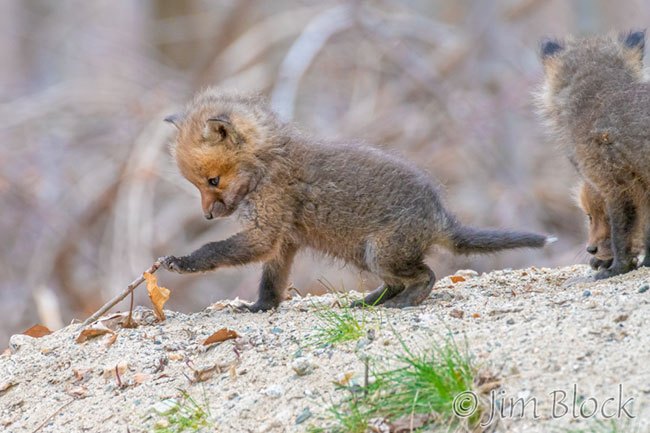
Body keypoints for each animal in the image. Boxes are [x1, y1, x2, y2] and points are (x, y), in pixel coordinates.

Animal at [159, 88, 553, 312]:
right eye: (198, 186)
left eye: (213, 181)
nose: (208, 217)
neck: (267, 164)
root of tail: (440, 217)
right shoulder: (285, 241)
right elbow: (272, 282)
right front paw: (259, 308)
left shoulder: (268, 230)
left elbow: (217, 250)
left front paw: (182, 262)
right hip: (368, 255)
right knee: (396, 282)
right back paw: (366, 302)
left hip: (380, 252)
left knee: (425, 275)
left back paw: (406, 302)